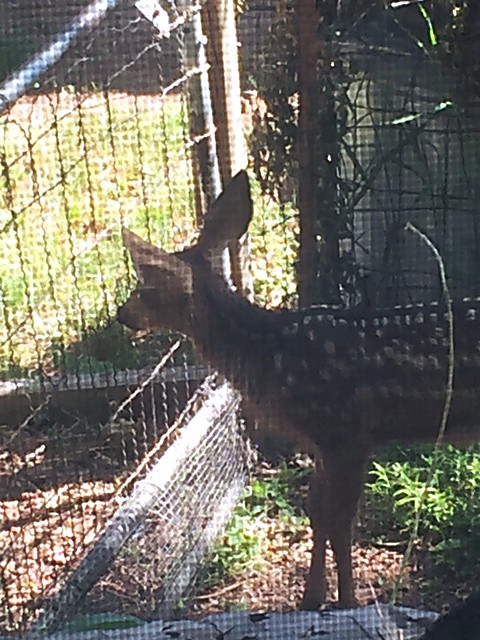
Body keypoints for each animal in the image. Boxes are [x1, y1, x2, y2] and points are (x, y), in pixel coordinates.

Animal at [117, 170, 480, 610]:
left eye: (146, 285)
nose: (121, 314)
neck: (268, 352)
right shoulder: (320, 444)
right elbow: (317, 513)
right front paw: (312, 598)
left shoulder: (347, 434)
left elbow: (341, 521)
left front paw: (345, 602)